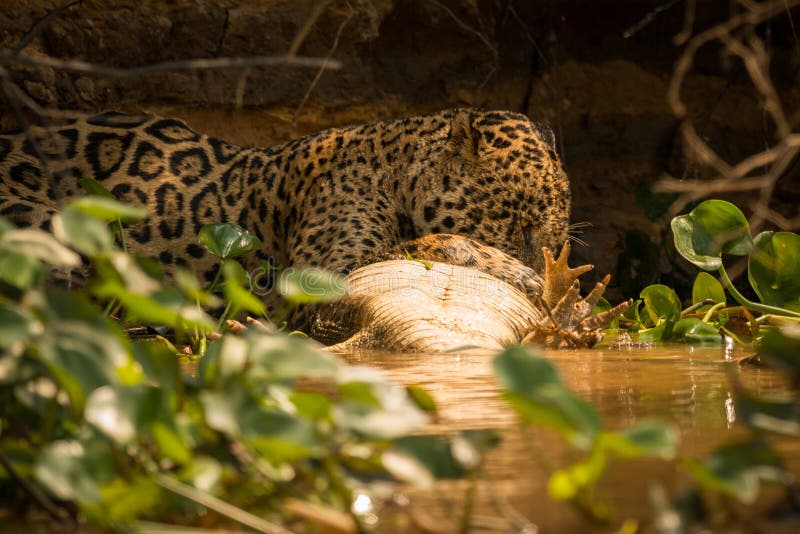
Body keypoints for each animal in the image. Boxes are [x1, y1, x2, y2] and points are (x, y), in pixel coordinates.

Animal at [0, 108, 571, 330]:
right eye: (516, 221)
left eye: (557, 237)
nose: (548, 272)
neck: (392, 168)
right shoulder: (317, 274)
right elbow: (426, 241)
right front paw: (514, 270)